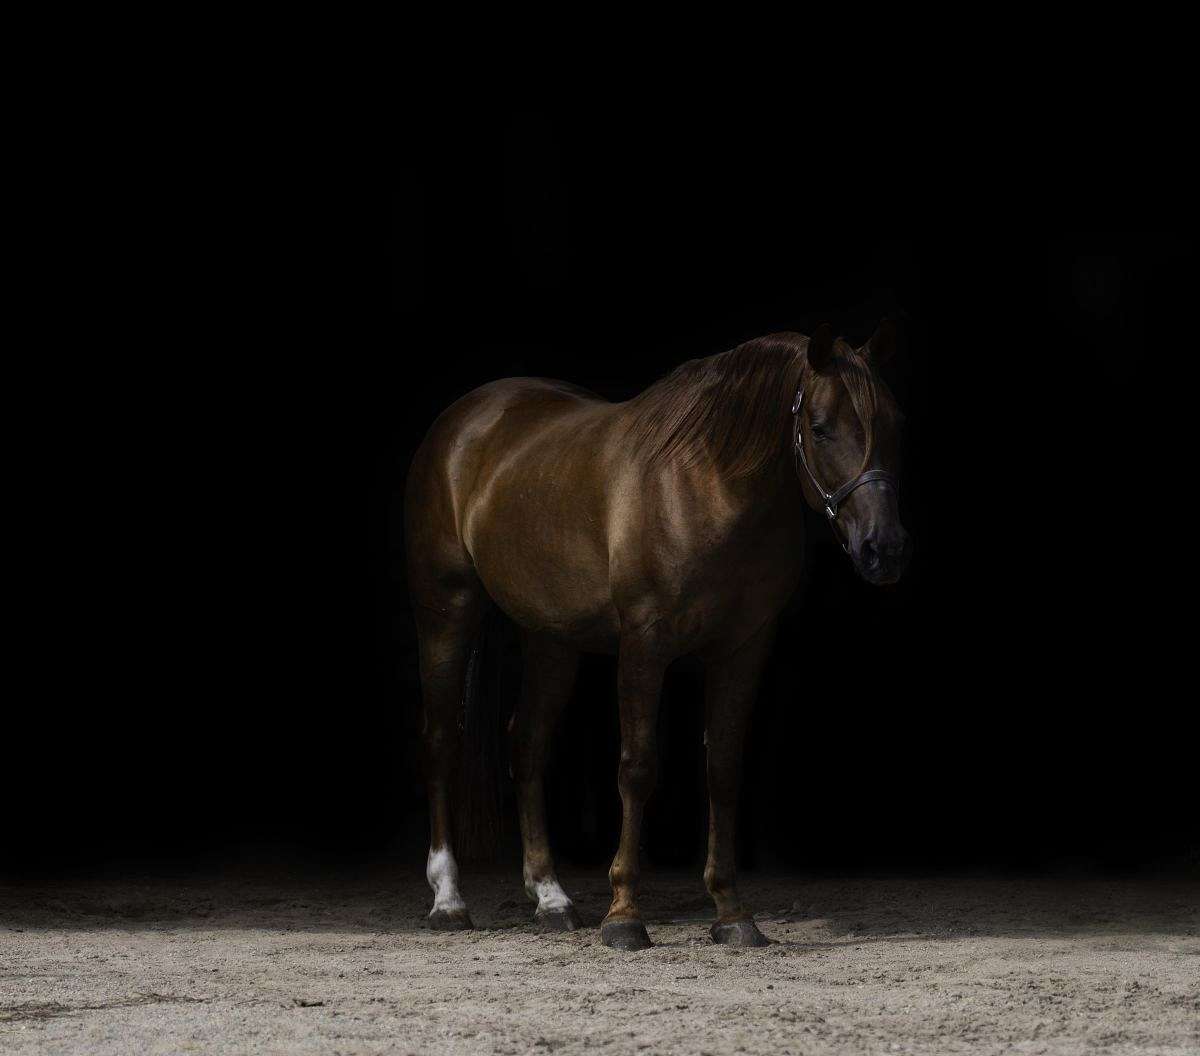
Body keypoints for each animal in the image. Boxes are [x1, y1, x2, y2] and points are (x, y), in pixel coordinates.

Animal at [404, 322, 910, 950]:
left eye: (893, 423)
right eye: (819, 427)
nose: (882, 550)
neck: (706, 485)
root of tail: (462, 420)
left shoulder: (744, 648)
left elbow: (723, 767)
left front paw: (732, 913)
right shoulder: (645, 644)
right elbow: (638, 766)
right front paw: (624, 915)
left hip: (551, 639)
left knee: (527, 744)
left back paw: (551, 898)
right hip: (446, 611)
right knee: (441, 740)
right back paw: (448, 900)